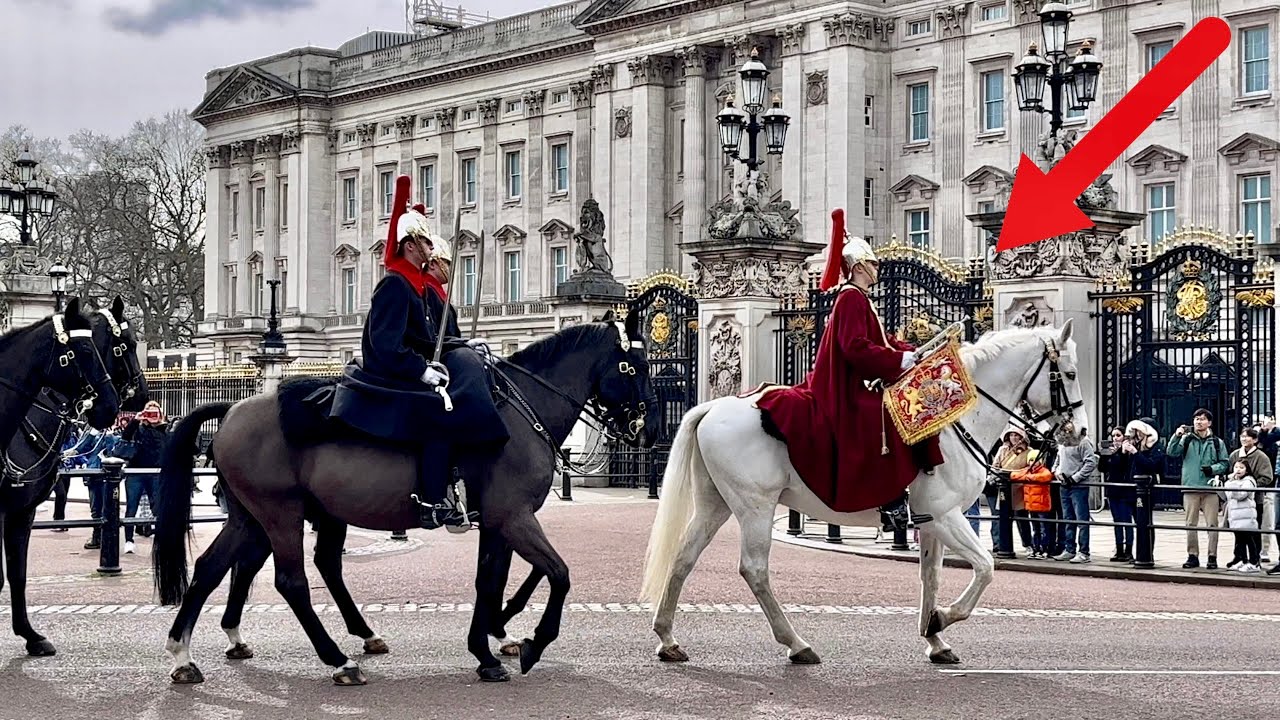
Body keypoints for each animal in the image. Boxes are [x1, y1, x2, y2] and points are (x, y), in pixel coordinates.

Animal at [152, 312, 660, 685]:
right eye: (632, 368)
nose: (650, 431)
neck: (518, 412)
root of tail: (234, 407)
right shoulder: (513, 516)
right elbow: (558, 573)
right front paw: (529, 642)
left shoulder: (500, 519)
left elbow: (494, 580)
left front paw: (491, 643)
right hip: (281, 514)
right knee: (291, 581)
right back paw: (339, 660)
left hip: (252, 516)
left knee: (212, 568)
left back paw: (183, 655)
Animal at [638, 321, 1089, 666]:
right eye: (1068, 374)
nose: (1081, 432)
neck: (955, 418)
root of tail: (711, 407)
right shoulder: (946, 514)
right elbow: (986, 567)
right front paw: (943, 619)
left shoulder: (930, 519)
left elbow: (932, 575)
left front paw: (934, 638)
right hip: (755, 505)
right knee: (754, 569)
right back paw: (796, 644)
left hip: (716, 503)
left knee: (684, 557)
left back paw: (667, 638)